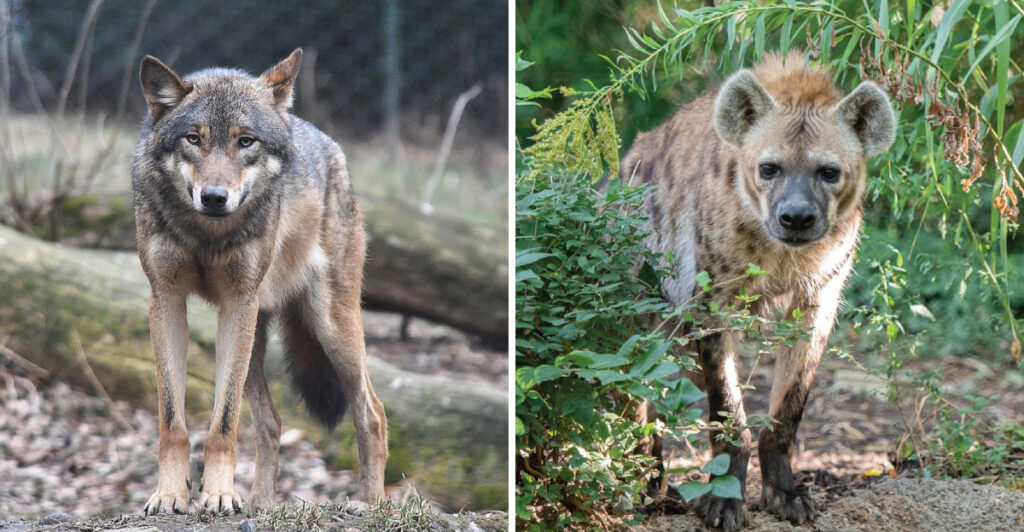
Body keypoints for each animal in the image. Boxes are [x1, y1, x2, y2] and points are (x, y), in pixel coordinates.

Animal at [132, 49, 388, 515]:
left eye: (245, 141)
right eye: (193, 139)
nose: (214, 197)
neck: (207, 236)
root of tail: (328, 142)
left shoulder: (238, 302)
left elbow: (223, 422)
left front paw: (217, 494)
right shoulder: (165, 301)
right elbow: (173, 421)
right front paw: (171, 494)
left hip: (327, 327)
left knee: (372, 411)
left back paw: (370, 503)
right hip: (251, 338)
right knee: (272, 422)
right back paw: (260, 506)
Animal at [620, 53, 895, 530]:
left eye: (829, 172)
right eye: (769, 168)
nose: (797, 217)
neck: (781, 256)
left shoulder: (819, 297)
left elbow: (789, 407)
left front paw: (785, 495)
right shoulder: (712, 298)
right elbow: (726, 406)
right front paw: (724, 502)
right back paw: (644, 484)